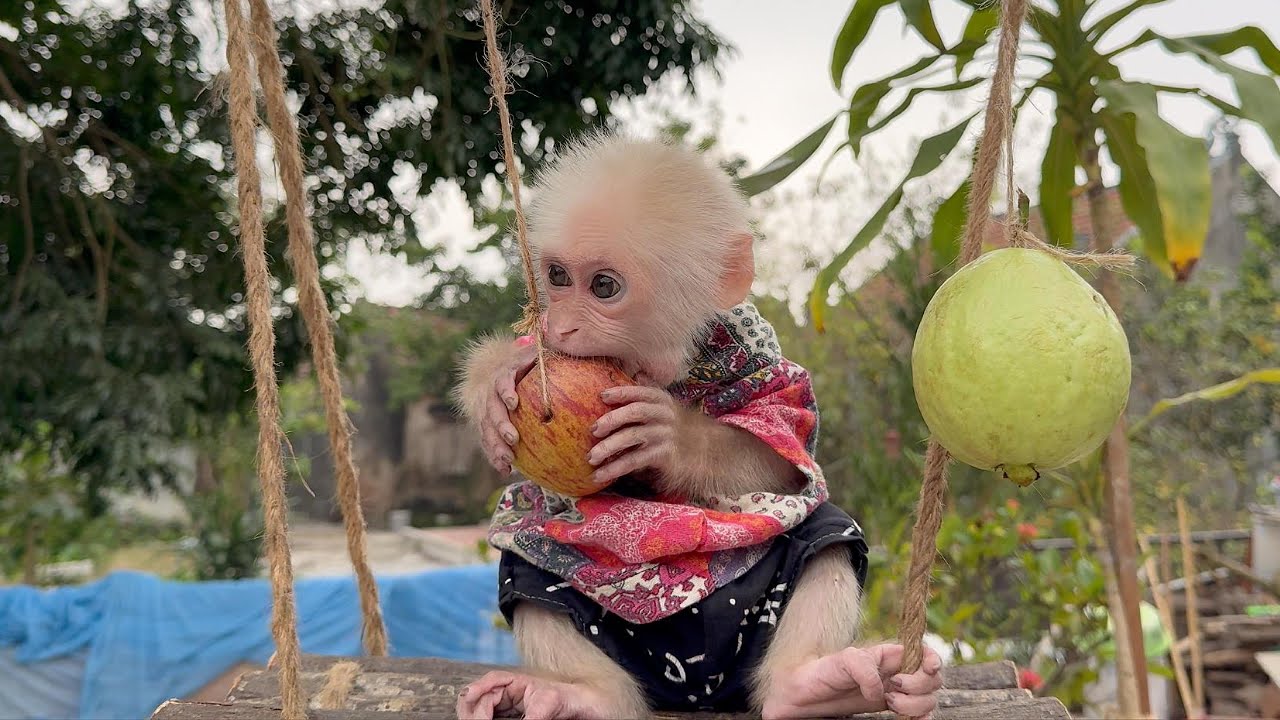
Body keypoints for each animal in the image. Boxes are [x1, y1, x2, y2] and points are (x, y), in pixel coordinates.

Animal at [451, 130, 943, 720]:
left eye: (604, 286)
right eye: (557, 277)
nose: (562, 326)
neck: (665, 368)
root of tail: (697, 688)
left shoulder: (764, 363)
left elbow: (783, 450)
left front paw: (669, 437)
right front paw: (497, 379)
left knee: (825, 533)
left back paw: (815, 686)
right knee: (531, 574)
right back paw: (577, 695)